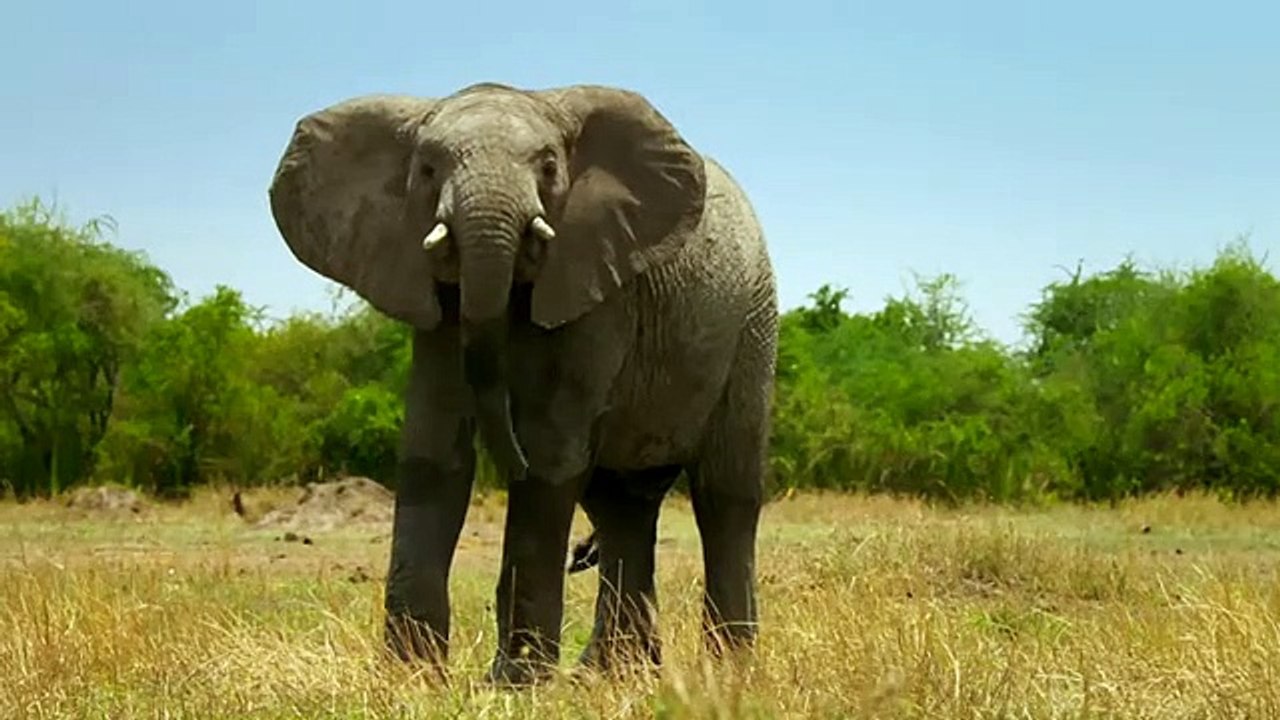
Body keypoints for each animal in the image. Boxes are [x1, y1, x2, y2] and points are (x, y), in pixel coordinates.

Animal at [266, 81, 778, 686]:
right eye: (427, 169)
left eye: (550, 167)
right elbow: (431, 452)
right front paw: (411, 680)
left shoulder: (597, 287)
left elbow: (550, 455)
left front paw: (516, 685)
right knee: (622, 506)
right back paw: (611, 676)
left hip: (753, 323)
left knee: (724, 494)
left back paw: (727, 671)